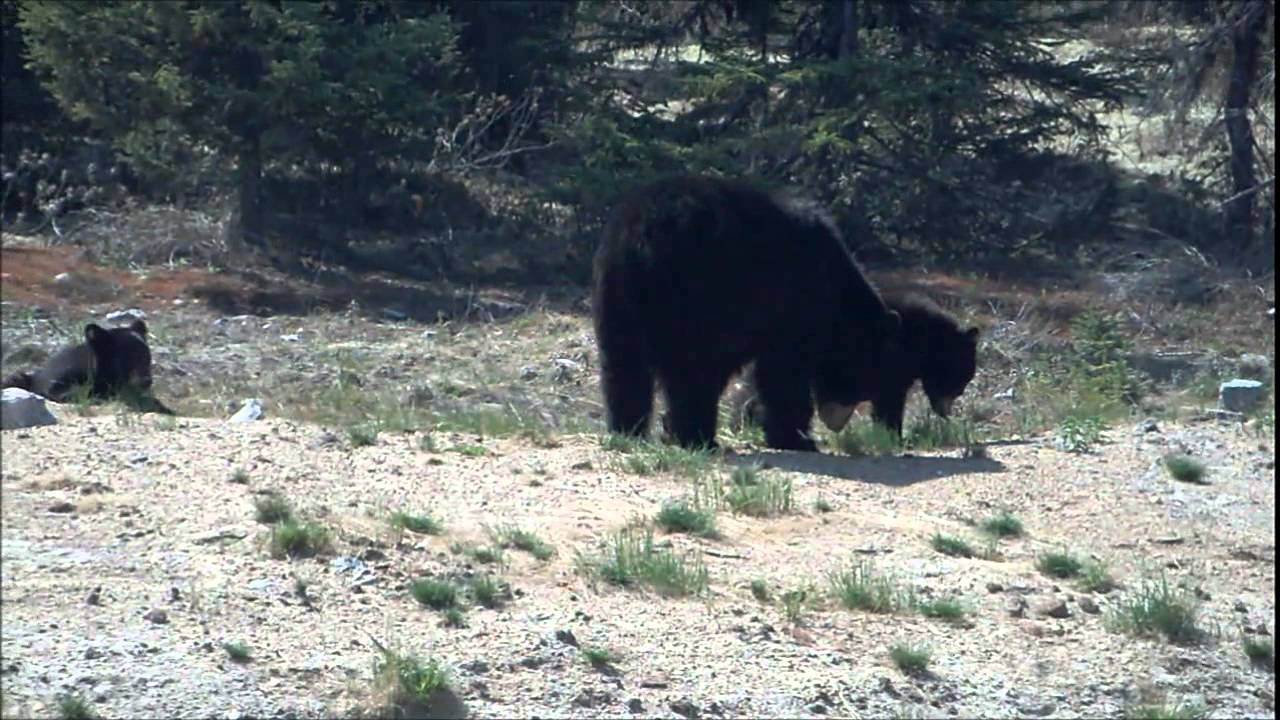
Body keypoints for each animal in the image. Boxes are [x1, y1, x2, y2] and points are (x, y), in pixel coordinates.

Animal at [591, 174, 902, 452]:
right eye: (860, 382)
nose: (835, 423)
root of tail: (640, 233)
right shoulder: (790, 303)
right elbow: (783, 372)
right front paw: (798, 438)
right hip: (690, 293)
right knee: (690, 368)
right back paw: (699, 438)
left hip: (615, 290)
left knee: (622, 362)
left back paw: (628, 430)